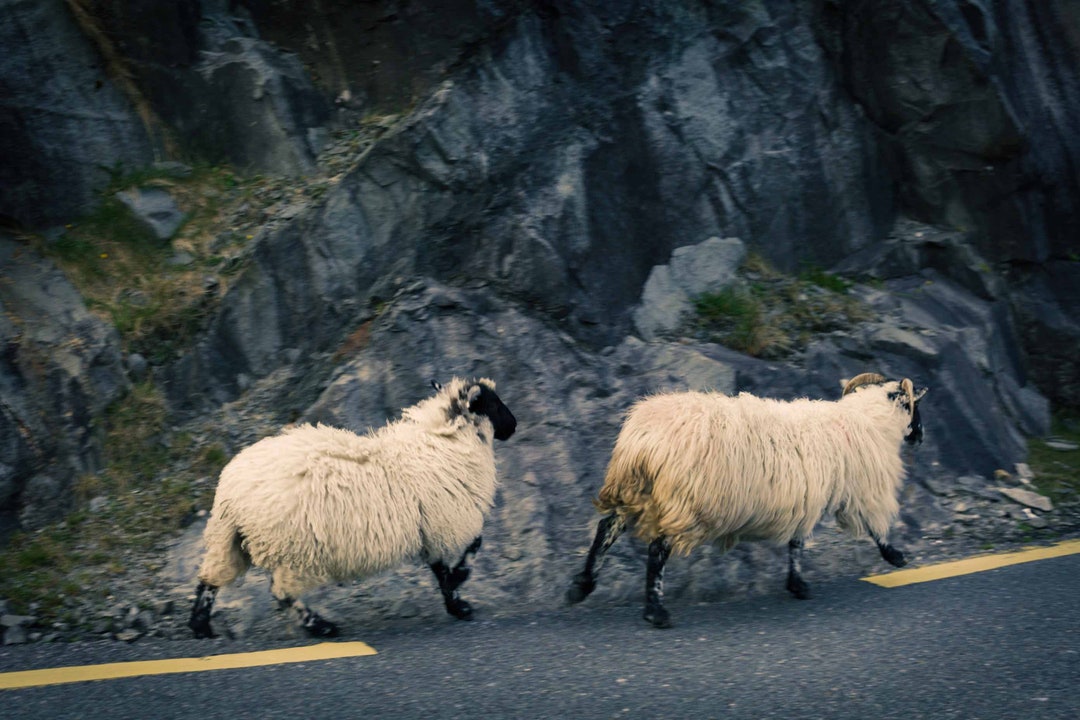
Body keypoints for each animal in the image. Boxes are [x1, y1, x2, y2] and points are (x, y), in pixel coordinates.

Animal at [187, 377, 517, 638]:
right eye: (494, 404)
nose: (514, 426)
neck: (447, 443)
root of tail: (233, 490)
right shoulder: (446, 521)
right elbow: (472, 547)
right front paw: (460, 588)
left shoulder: (429, 528)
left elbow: (440, 570)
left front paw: (456, 604)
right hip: (297, 550)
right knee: (281, 593)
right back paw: (320, 627)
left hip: (229, 538)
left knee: (211, 579)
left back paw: (201, 627)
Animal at [566, 372, 927, 628]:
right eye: (914, 405)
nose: (921, 437)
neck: (869, 422)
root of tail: (644, 437)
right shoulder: (859, 489)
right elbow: (870, 527)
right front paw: (895, 556)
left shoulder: (806, 498)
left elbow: (797, 542)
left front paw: (797, 584)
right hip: (684, 499)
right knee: (657, 550)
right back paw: (656, 612)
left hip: (634, 487)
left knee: (606, 529)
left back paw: (581, 586)